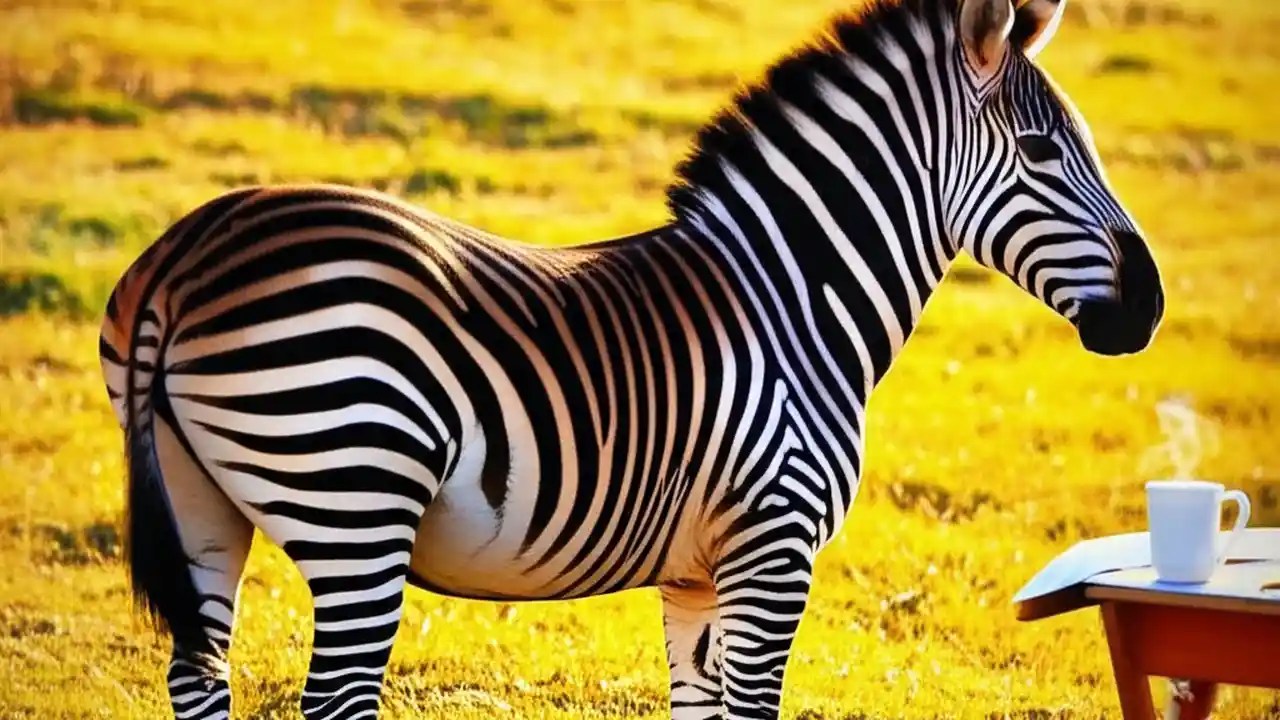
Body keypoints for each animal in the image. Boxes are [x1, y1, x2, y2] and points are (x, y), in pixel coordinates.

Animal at [98, 0, 1163, 718]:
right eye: (1041, 151)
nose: (1149, 307)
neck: (793, 297)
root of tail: (183, 259)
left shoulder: (695, 574)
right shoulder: (773, 547)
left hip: (206, 506)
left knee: (197, 677)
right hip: (355, 497)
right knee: (333, 696)